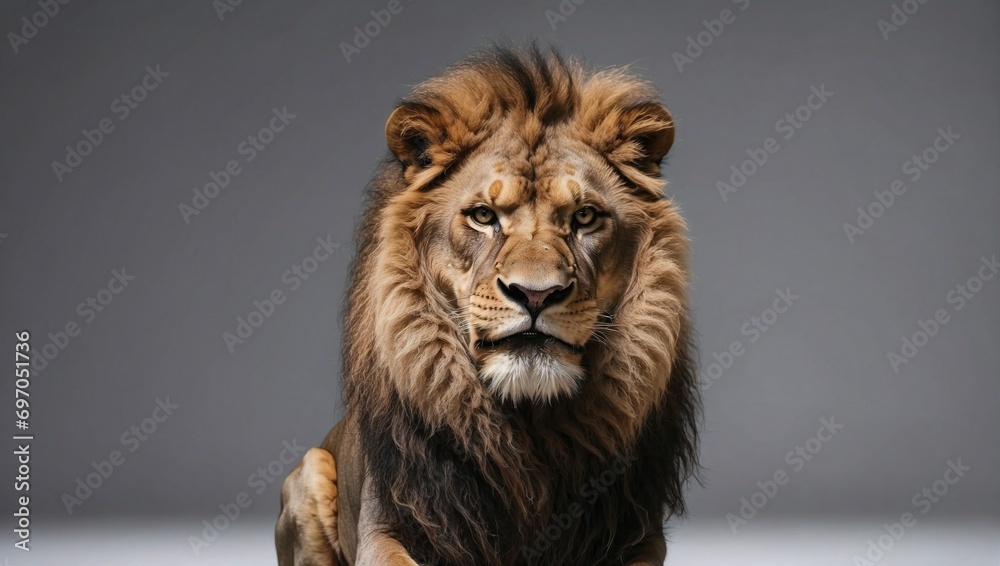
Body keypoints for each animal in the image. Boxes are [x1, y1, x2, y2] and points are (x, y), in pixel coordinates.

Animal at [275, 44, 700, 566]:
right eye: (483, 216)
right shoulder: (385, 526)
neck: (530, 420)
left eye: (584, 217)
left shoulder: (637, 534)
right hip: (311, 469)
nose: (536, 293)